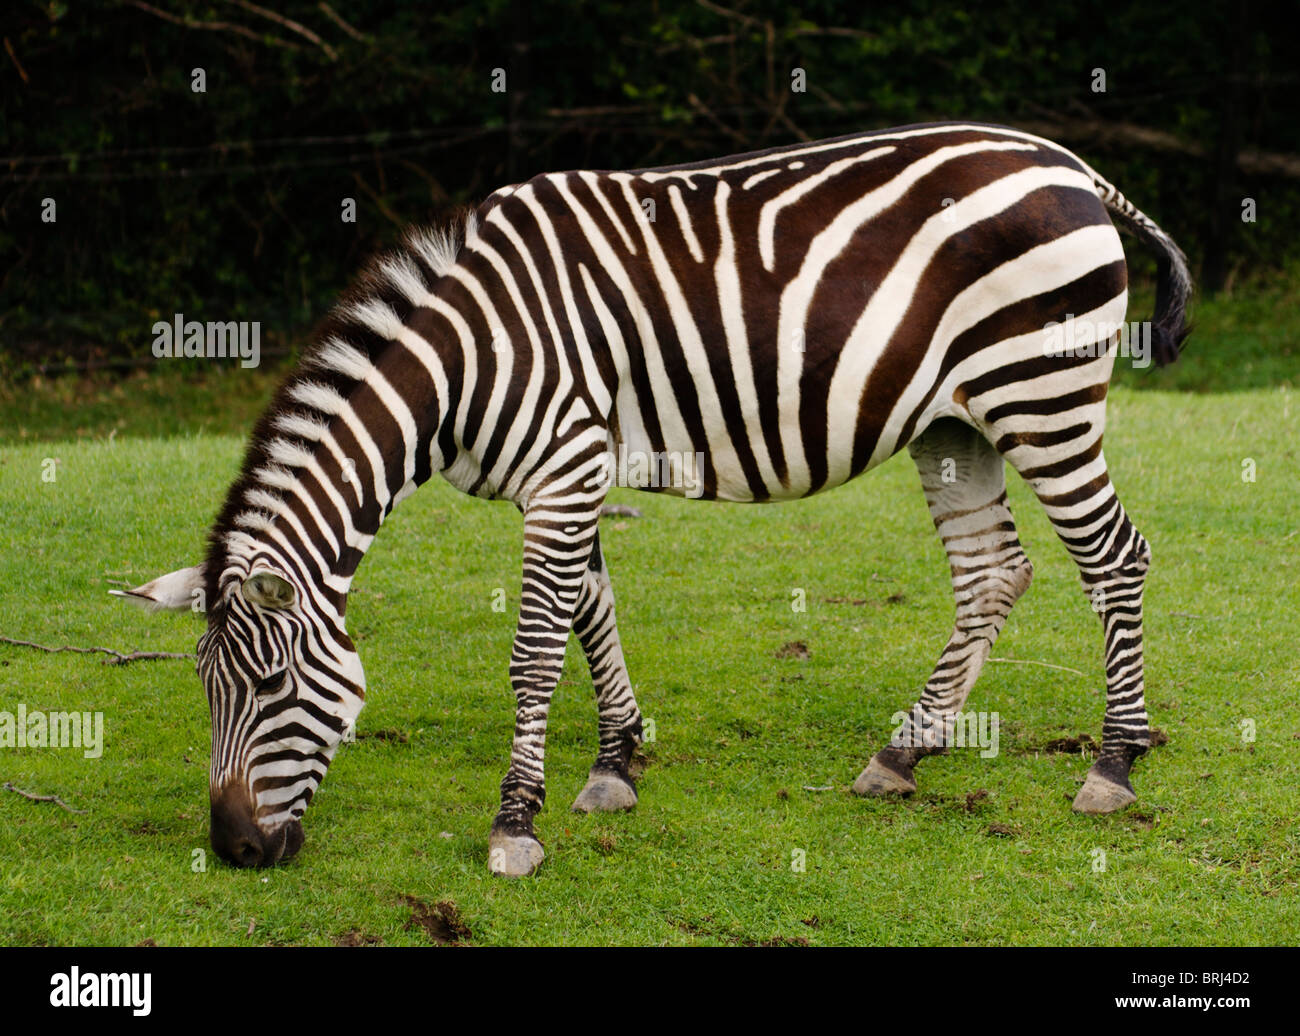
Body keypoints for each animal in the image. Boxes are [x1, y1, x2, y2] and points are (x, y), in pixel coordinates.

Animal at [116, 121, 1190, 877]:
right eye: (203, 691)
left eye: (272, 689)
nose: (235, 851)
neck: (468, 358)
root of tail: (1069, 163)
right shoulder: (567, 472)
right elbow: (592, 611)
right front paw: (615, 764)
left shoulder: (562, 468)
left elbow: (535, 651)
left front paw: (514, 824)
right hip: (957, 423)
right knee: (992, 574)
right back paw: (901, 753)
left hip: (1039, 393)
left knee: (1114, 557)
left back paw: (1113, 766)